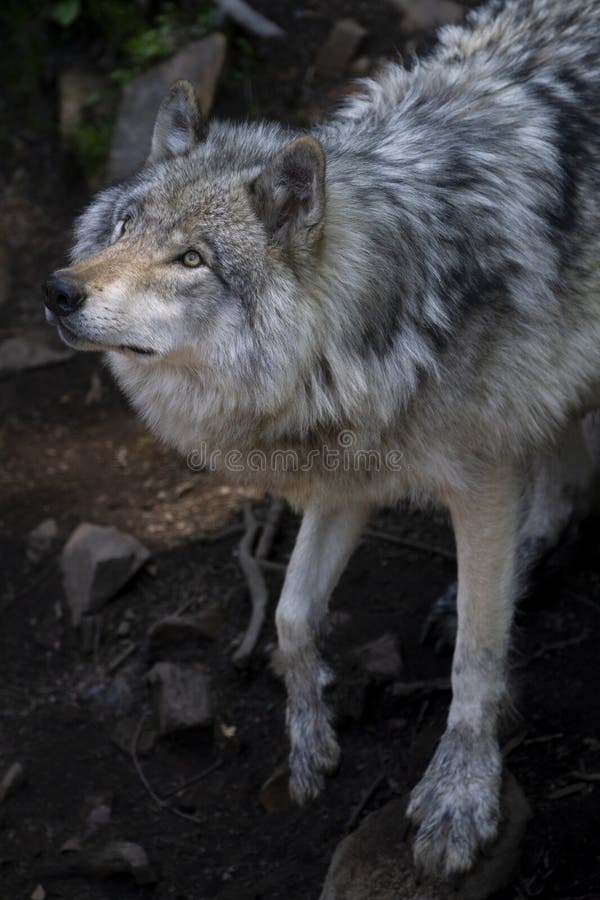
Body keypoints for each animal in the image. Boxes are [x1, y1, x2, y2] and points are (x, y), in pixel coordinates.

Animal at [44, 0, 600, 878]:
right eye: (124, 225)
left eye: (191, 260)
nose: (58, 291)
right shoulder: (348, 474)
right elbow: (291, 618)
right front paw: (310, 742)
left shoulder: (479, 479)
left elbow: (475, 660)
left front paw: (459, 797)